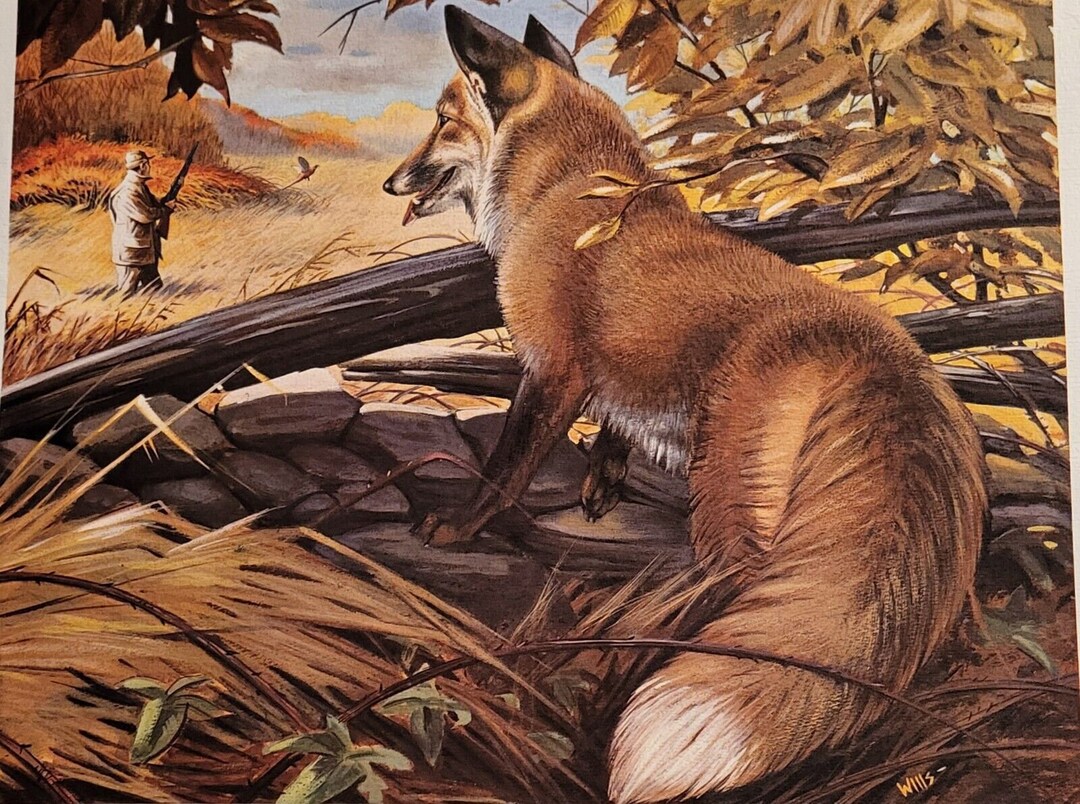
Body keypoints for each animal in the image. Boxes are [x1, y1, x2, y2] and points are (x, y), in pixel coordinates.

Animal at [383, 7, 988, 803]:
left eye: (441, 122)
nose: (391, 180)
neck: (567, 192)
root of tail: (888, 349)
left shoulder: (553, 369)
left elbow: (504, 471)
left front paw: (456, 529)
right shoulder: (610, 376)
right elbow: (614, 428)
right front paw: (602, 487)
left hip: (728, 496)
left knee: (742, 592)